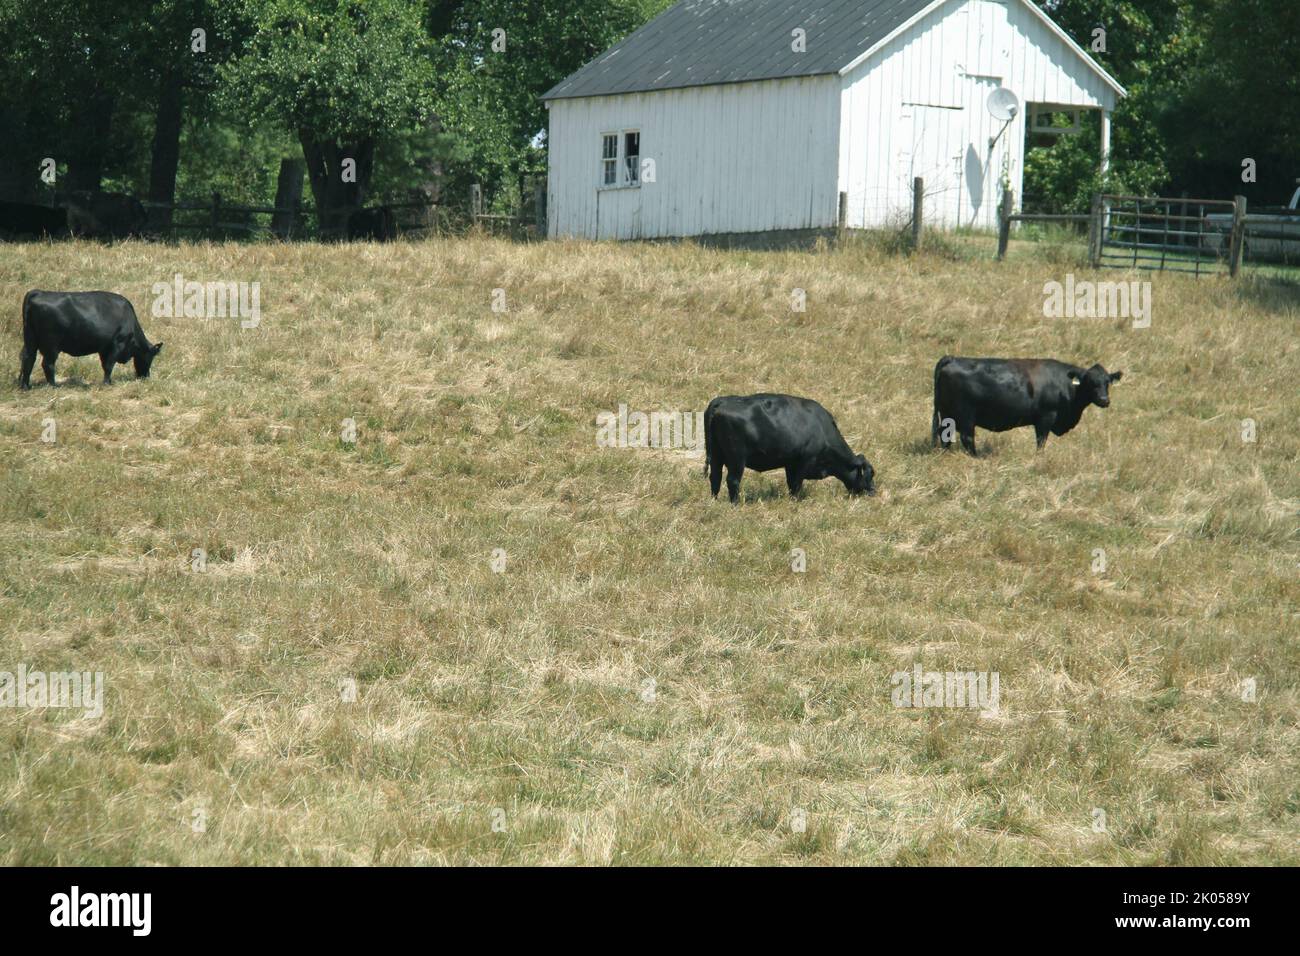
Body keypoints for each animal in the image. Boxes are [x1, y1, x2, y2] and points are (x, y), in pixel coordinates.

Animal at [19, 291, 162, 389]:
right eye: (150, 358)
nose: (145, 376)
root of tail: (38, 292)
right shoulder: (118, 343)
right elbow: (109, 365)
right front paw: (106, 383)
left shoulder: (104, 348)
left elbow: (105, 365)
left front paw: (108, 381)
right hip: (51, 346)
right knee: (47, 364)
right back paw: (54, 385)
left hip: (30, 340)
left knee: (28, 359)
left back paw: (26, 386)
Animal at [704, 393, 875, 503]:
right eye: (870, 474)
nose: (873, 491)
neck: (822, 428)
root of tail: (721, 401)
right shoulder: (805, 461)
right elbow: (796, 484)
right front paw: (794, 502)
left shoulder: (790, 463)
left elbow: (791, 482)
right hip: (737, 459)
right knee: (732, 480)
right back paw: (735, 503)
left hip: (716, 456)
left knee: (715, 478)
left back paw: (714, 501)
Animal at [932, 356, 1123, 455]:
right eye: (1090, 382)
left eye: (1107, 382)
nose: (1104, 400)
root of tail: (953, 358)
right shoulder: (1046, 417)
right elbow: (1041, 441)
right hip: (965, 416)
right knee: (967, 438)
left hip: (947, 414)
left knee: (945, 435)